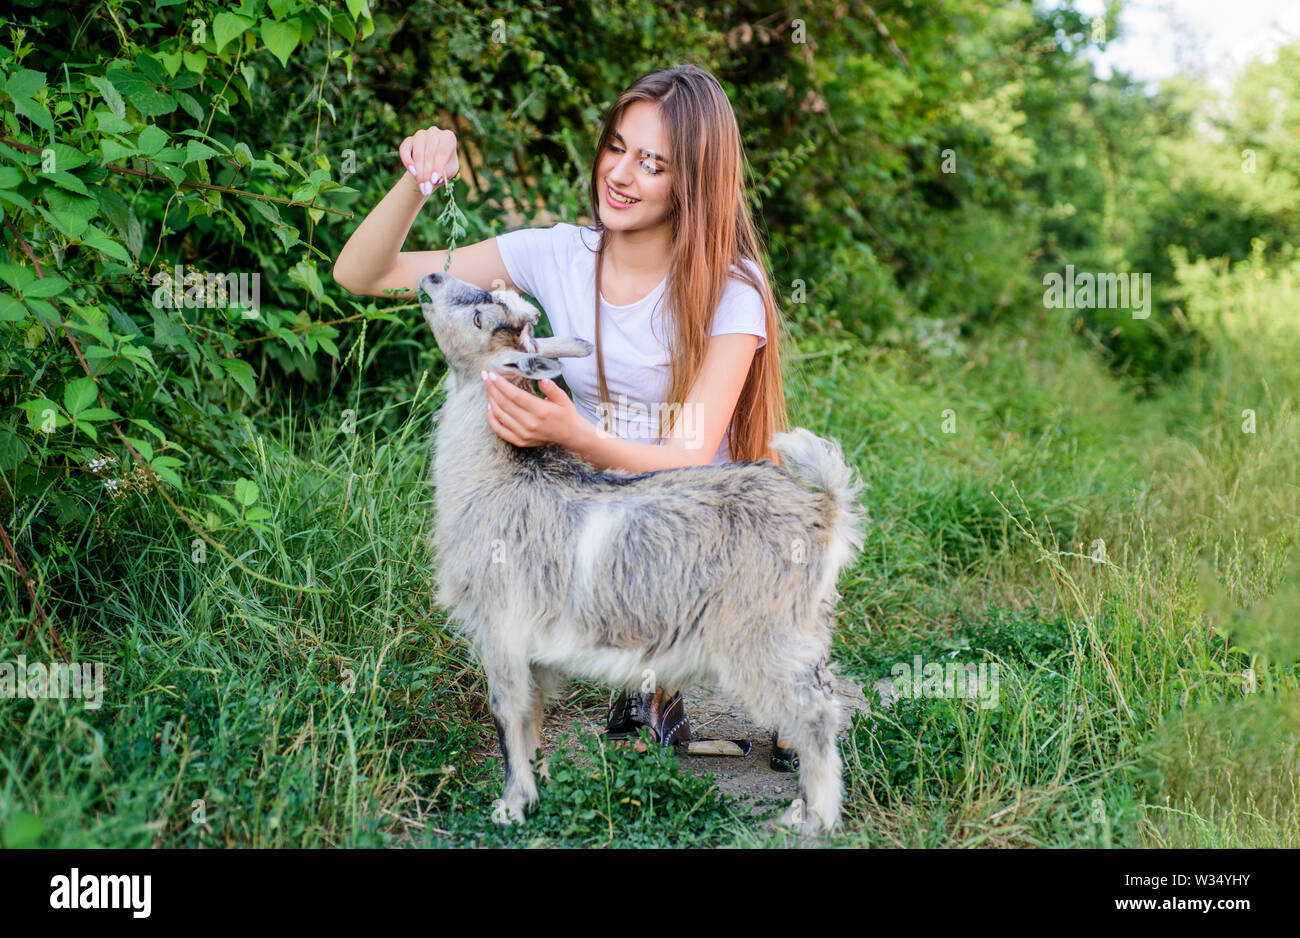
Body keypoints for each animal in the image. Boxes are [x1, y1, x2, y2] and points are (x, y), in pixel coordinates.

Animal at [417, 271, 867, 833]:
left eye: (479, 317)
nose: (431, 276)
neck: (497, 477)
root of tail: (825, 508)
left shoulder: (501, 624)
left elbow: (508, 711)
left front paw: (511, 805)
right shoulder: (532, 641)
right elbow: (535, 710)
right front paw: (541, 784)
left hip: (762, 633)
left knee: (815, 712)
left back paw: (812, 816)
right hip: (804, 625)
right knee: (824, 692)